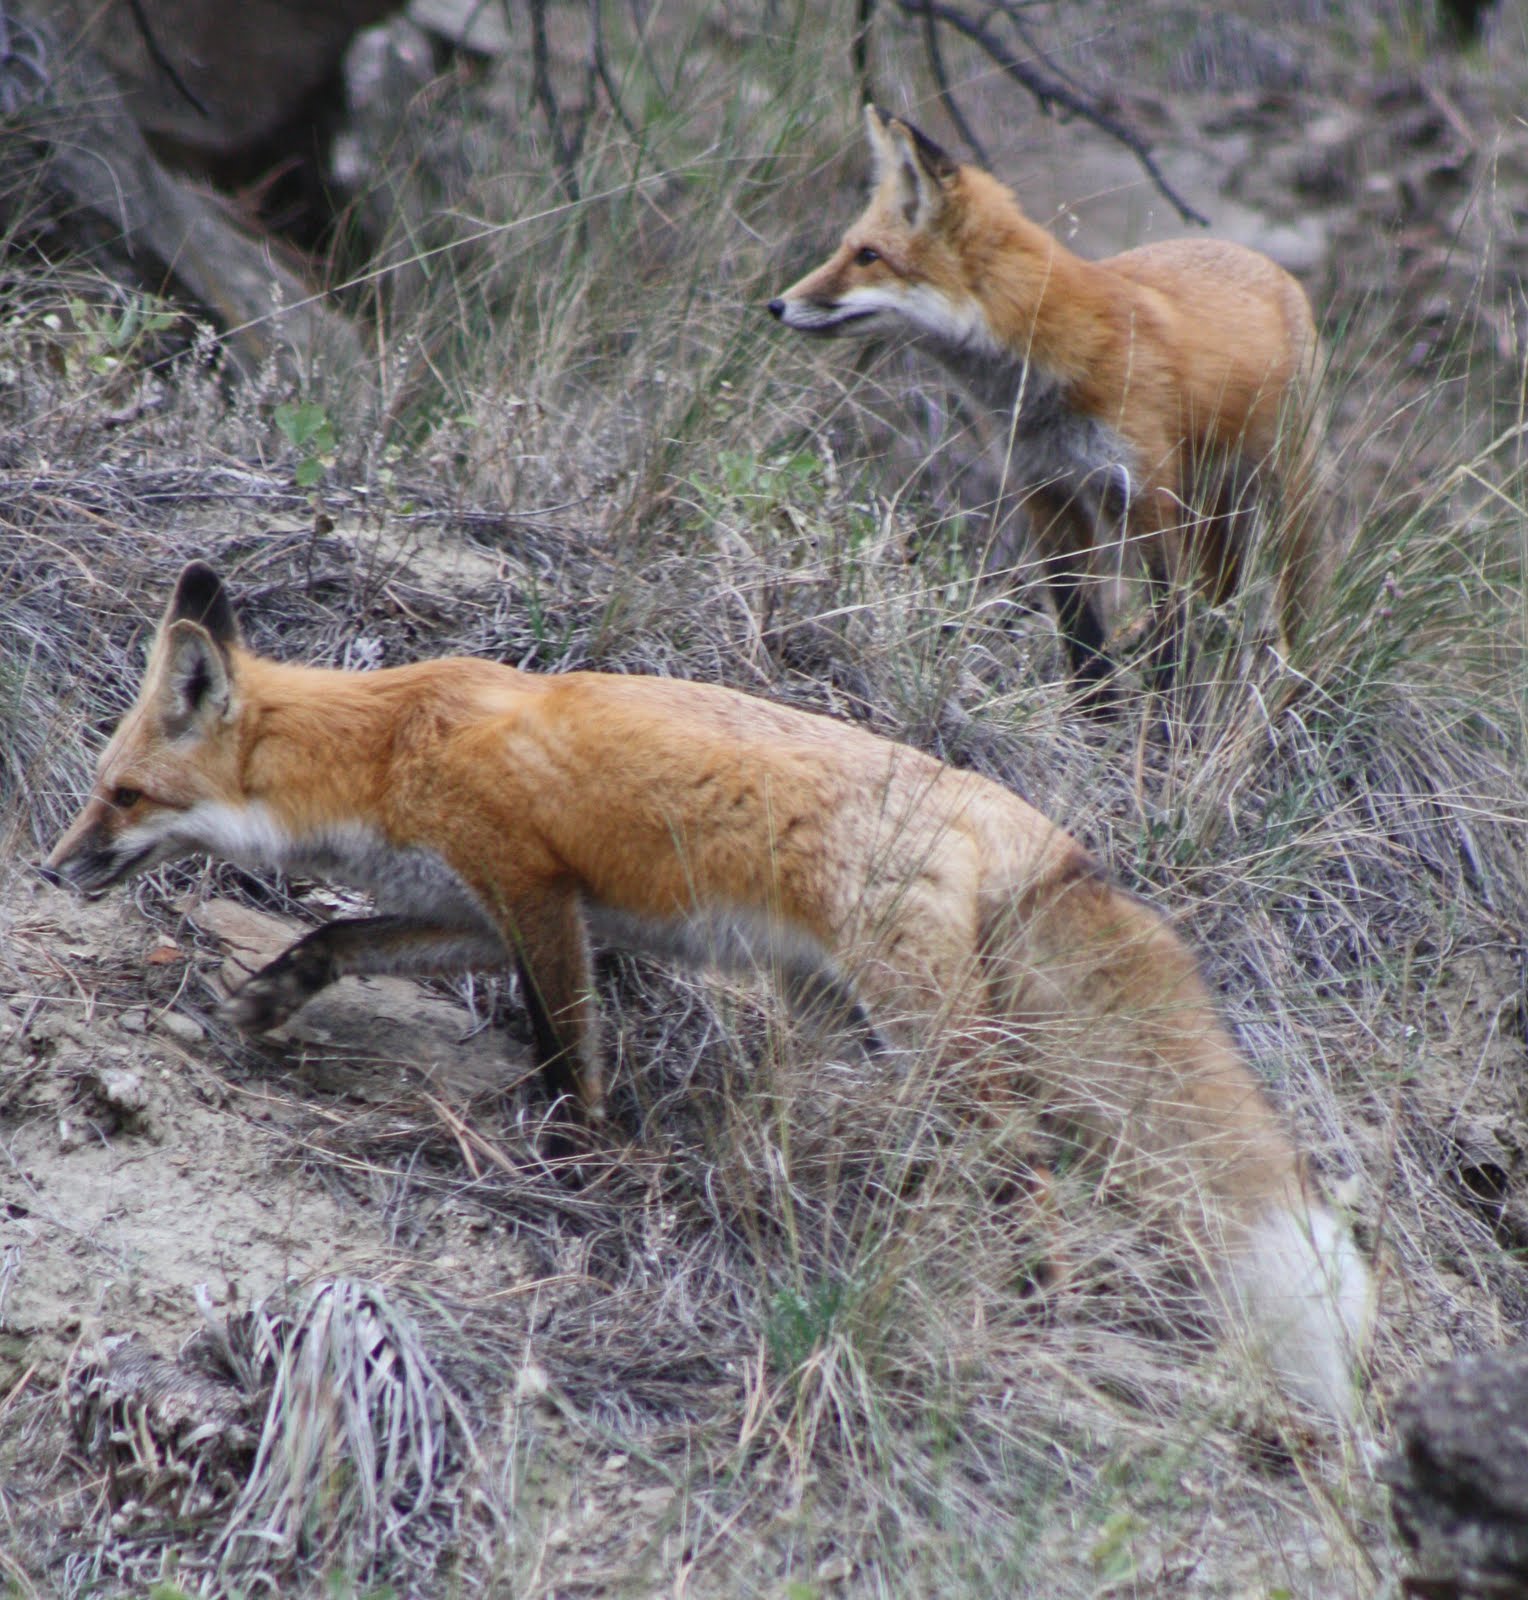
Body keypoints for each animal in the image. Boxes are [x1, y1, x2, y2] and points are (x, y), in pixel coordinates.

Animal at [44, 561, 1368, 1422]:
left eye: (120, 795)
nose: (53, 867)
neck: (385, 744)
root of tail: (1019, 813)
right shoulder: (469, 911)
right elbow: (341, 939)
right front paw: (267, 1000)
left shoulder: (539, 894)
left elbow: (568, 1050)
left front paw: (579, 1163)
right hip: (845, 1015)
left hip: (921, 1024)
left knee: (1023, 1158)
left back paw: (1031, 1296)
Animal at [770, 105, 1331, 703]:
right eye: (850, 248)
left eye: (868, 256)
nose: (776, 305)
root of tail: (1268, 263)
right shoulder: (1046, 492)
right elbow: (1082, 640)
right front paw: (1096, 719)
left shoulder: (1145, 496)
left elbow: (1172, 640)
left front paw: (1172, 723)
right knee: (1219, 606)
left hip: (1284, 501)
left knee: (1287, 610)